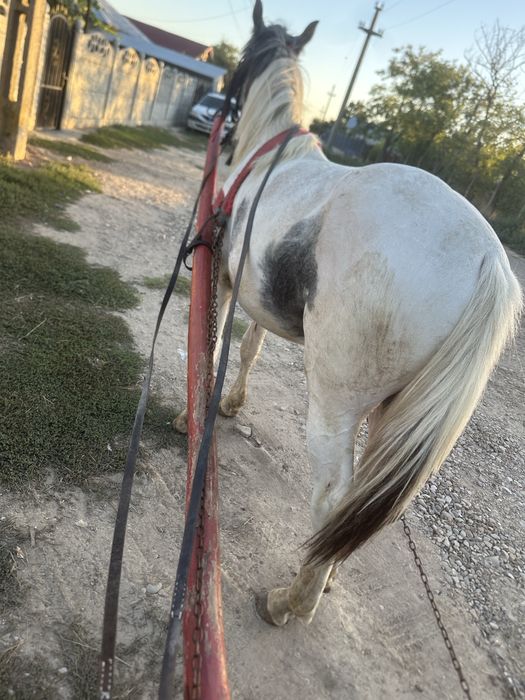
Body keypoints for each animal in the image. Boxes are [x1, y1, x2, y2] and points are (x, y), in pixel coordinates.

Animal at [175, 0, 522, 628]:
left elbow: (209, 347)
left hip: (336, 402)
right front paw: (231, 404)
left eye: (237, 68)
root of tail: (488, 259)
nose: (221, 125)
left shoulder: (224, 278)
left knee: (335, 493)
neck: (274, 158)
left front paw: (186, 416)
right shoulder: (259, 296)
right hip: (391, 410)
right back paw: (325, 574)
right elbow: (250, 347)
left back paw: (292, 601)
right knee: (357, 501)